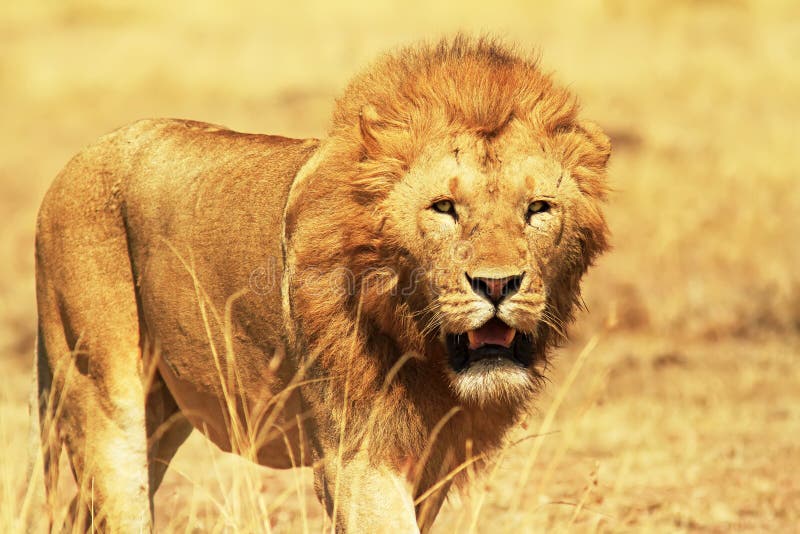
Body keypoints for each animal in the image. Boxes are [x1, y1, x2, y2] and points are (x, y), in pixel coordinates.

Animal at [34, 36, 610, 532]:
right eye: (444, 208)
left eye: (538, 209)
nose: (497, 285)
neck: (425, 354)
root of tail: (73, 163)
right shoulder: (355, 458)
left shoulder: (430, 463)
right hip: (102, 398)